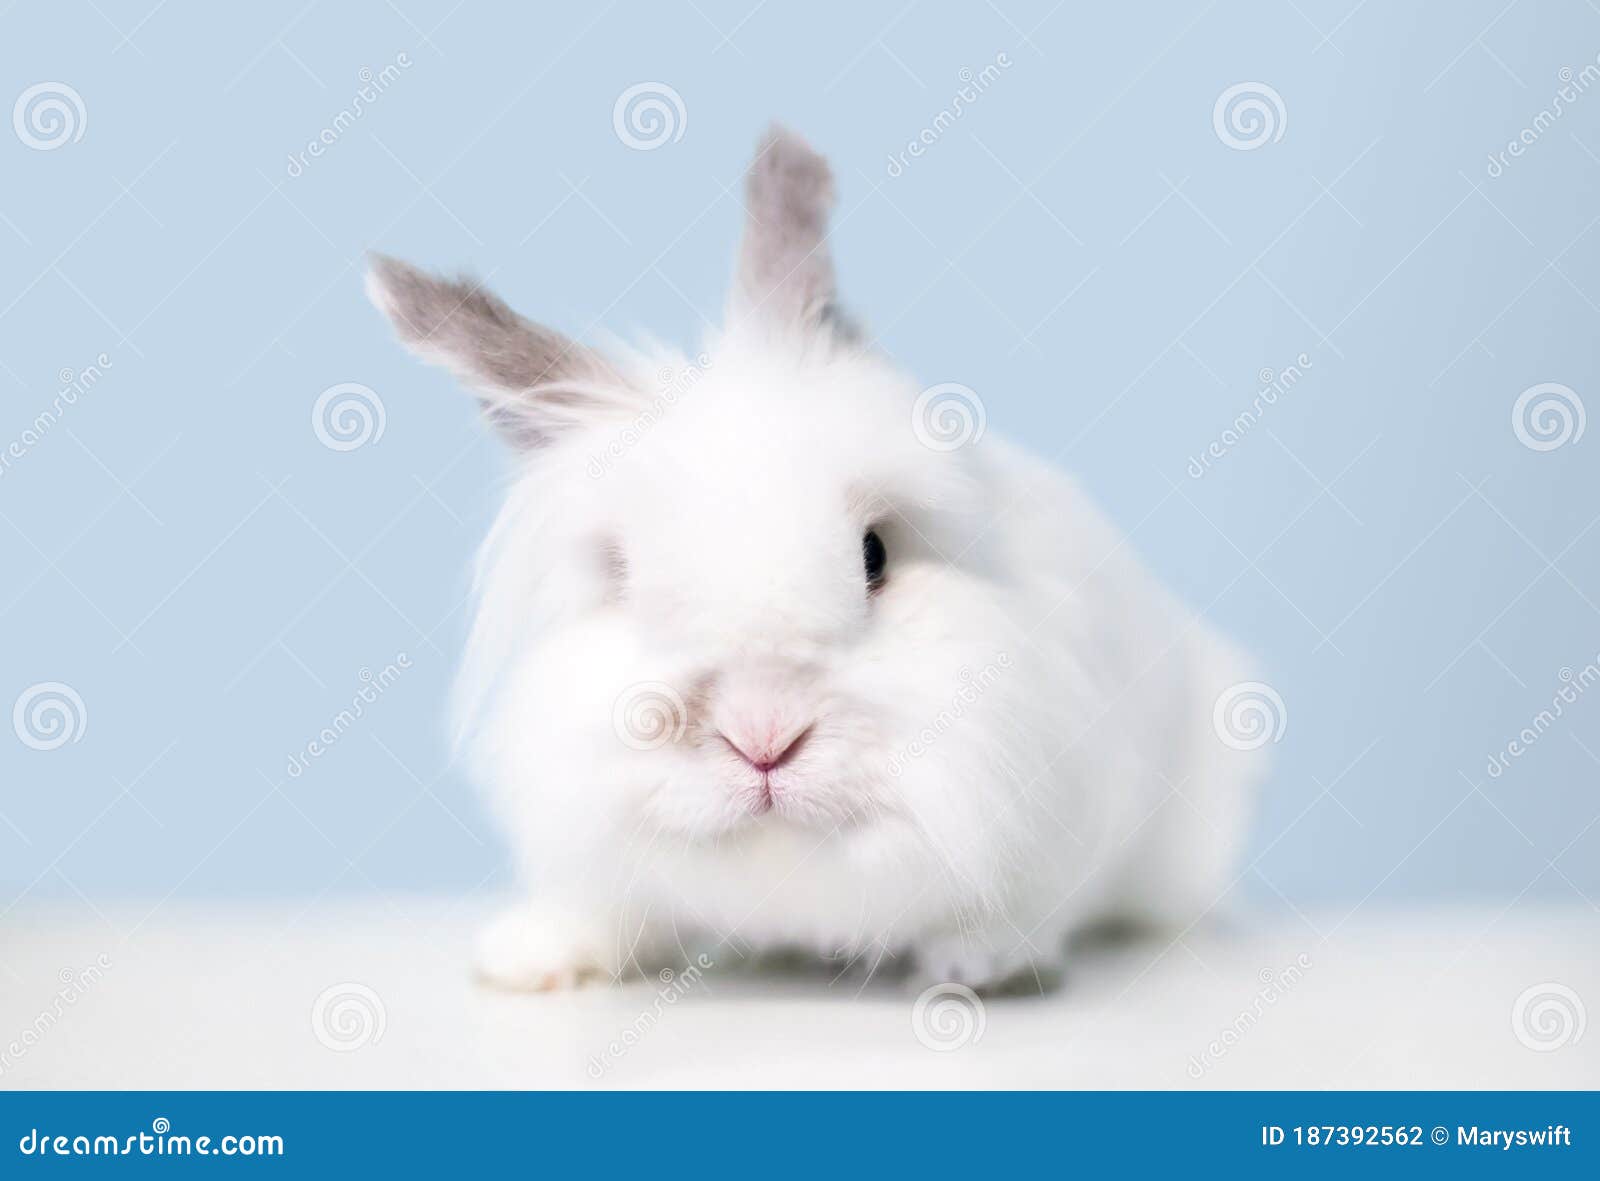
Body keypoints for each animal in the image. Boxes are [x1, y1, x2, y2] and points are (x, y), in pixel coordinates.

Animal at [366, 125, 1266, 993]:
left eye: (874, 555)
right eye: (625, 580)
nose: (764, 738)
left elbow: (1022, 903)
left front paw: (975, 962)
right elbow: (602, 907)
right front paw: (529, 956)